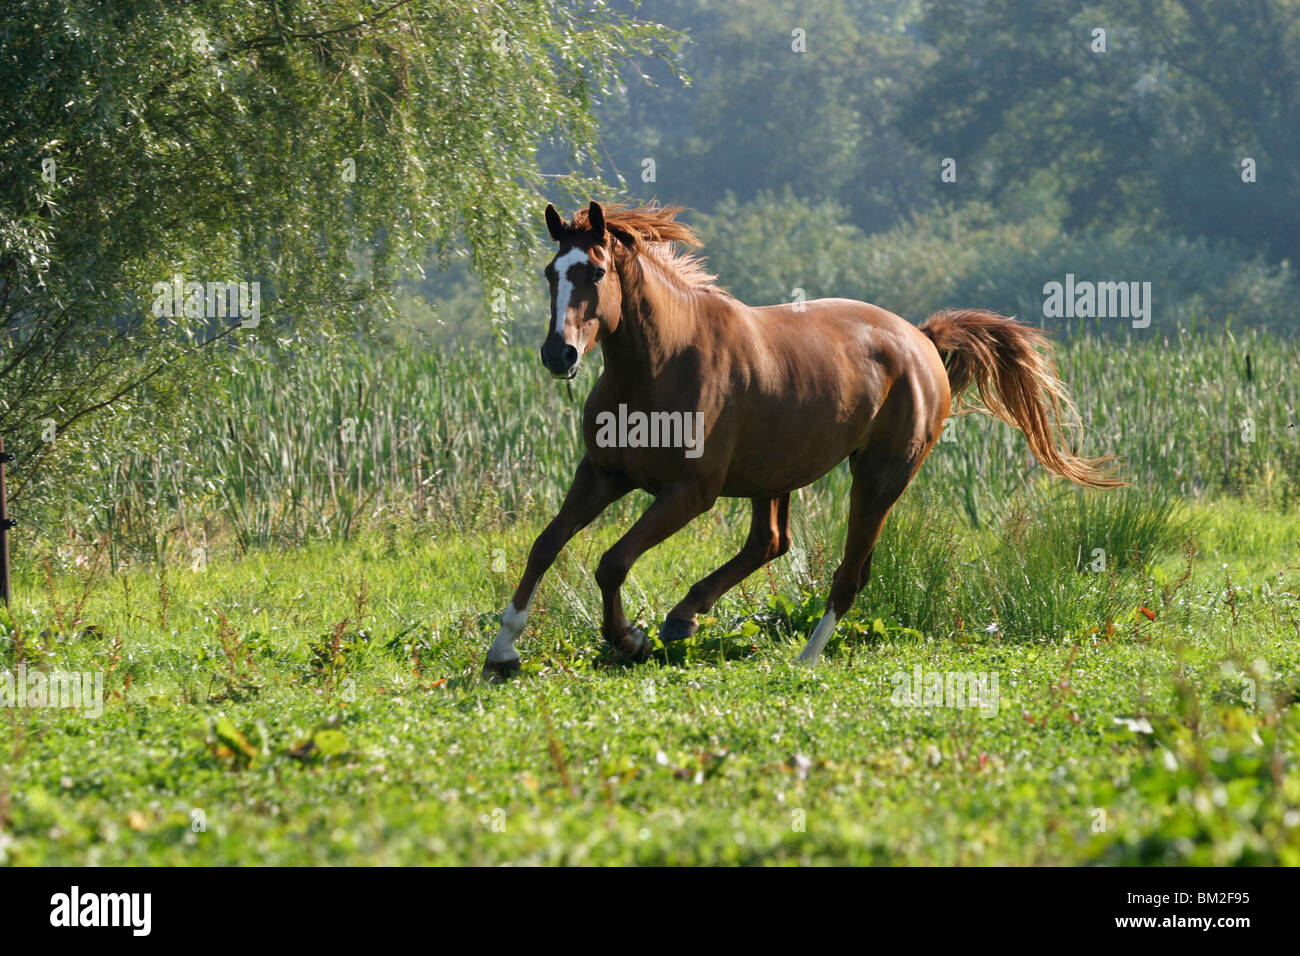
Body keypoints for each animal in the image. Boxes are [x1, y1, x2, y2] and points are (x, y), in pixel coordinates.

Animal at [482, 201, 1121, 677]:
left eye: (593, 271)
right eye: (550, 273)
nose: (558, 355)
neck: (661, 364)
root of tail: (921, 339)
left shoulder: (690, 492)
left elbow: (612, 562)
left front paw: (628, 639)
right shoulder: (603, 474)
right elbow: (546, 545)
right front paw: (503, 650)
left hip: (878, 478)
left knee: (848, 573)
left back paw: (804, 657)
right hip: (775, 473)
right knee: (769, 542)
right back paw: (685, 617)